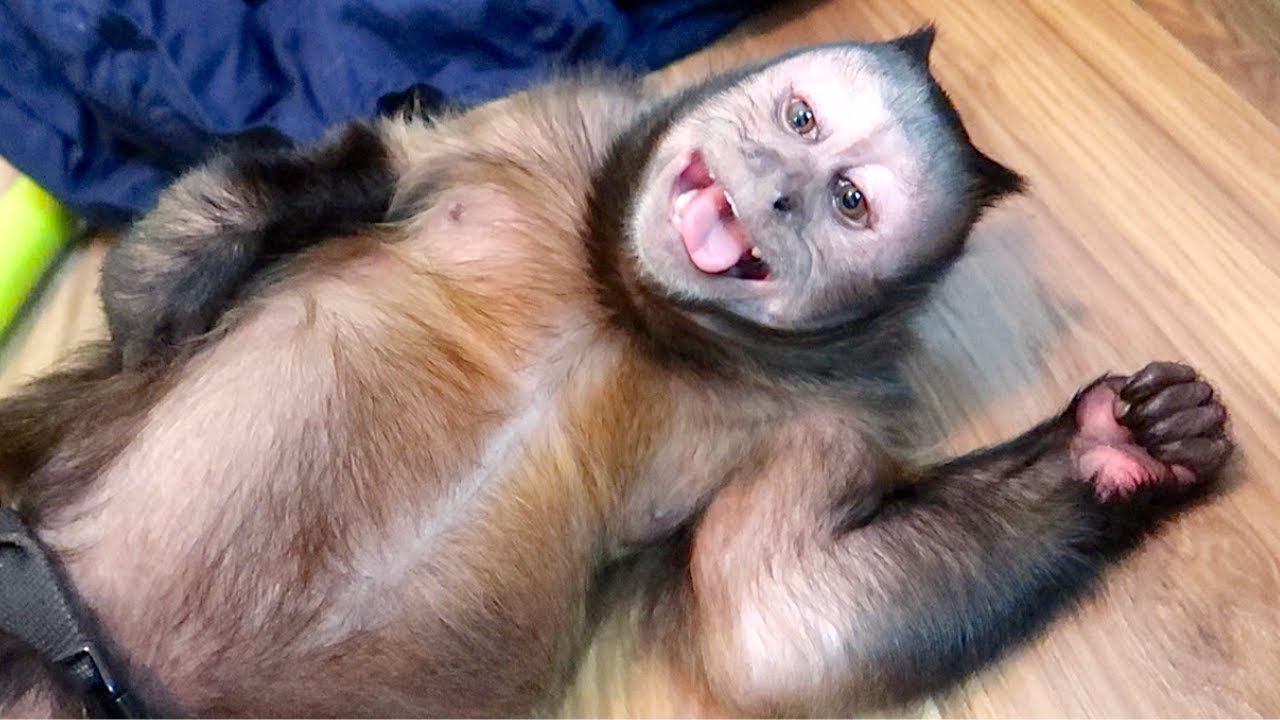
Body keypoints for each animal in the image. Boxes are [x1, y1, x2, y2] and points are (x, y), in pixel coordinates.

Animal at [0, 27, 1232, 717]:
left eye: (847, 201)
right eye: (797, 119)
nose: (773, 189)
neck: (624, 302)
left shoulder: (826, 405)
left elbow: (772, 617)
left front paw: (1113, 447)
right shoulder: (537, 125)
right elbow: (226, 248)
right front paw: (227, 259)